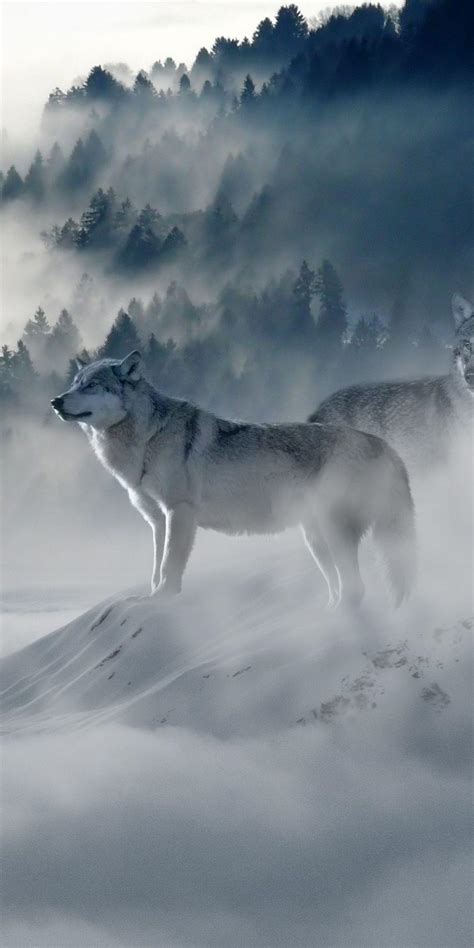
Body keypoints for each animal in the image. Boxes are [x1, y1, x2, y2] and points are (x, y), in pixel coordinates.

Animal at [51, 350, 416, 608]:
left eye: (91, 385)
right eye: (74, 383)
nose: (55, 401)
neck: (147, 438)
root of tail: (384, 445)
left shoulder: (179, 513)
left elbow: (168, 567)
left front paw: (163, 600)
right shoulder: (157, 520)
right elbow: (155, 569)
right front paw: (149, 598)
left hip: (332, 532)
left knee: (356, 589)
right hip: (316, 540)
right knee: (342, 588)